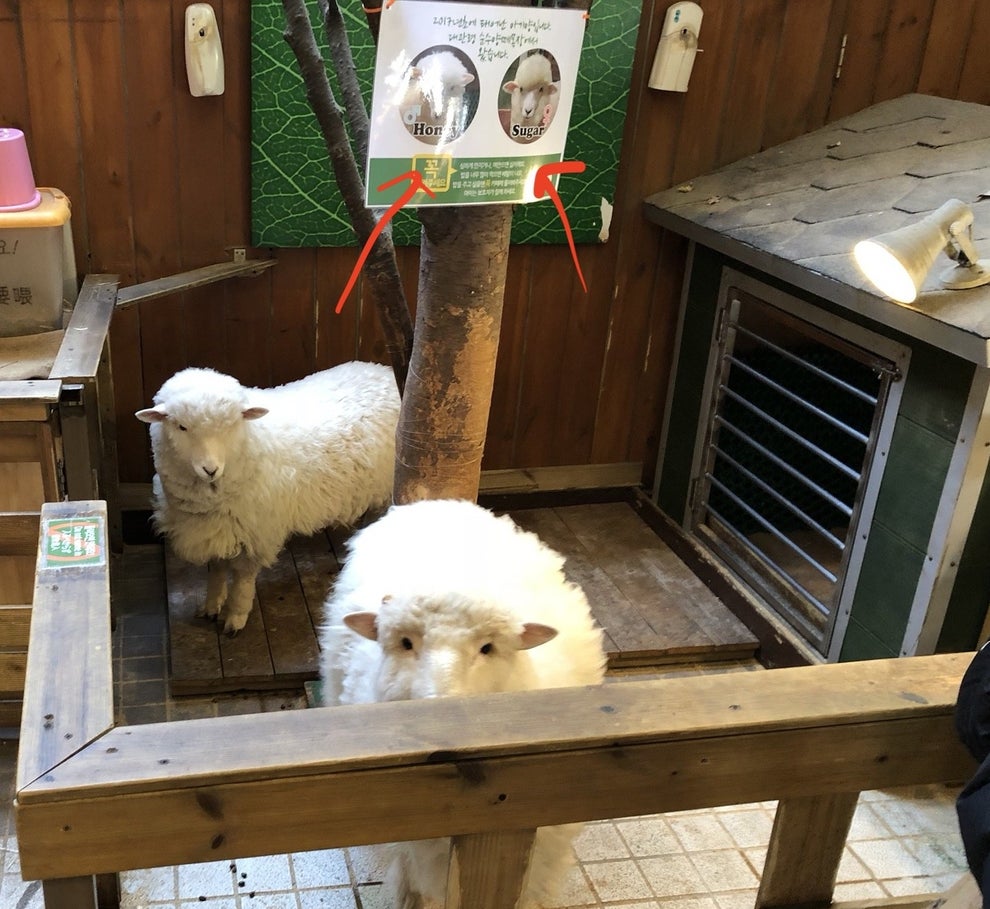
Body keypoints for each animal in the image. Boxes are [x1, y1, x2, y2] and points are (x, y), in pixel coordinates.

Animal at [136, 361, 400, 636]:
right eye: (181, 427)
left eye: (230, 425)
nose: (210, 469)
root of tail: (384, 371)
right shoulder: (216, 530)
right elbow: (217, 569)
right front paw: (212, 605)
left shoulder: (256, 532)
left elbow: (243, 579)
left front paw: (236, 616)